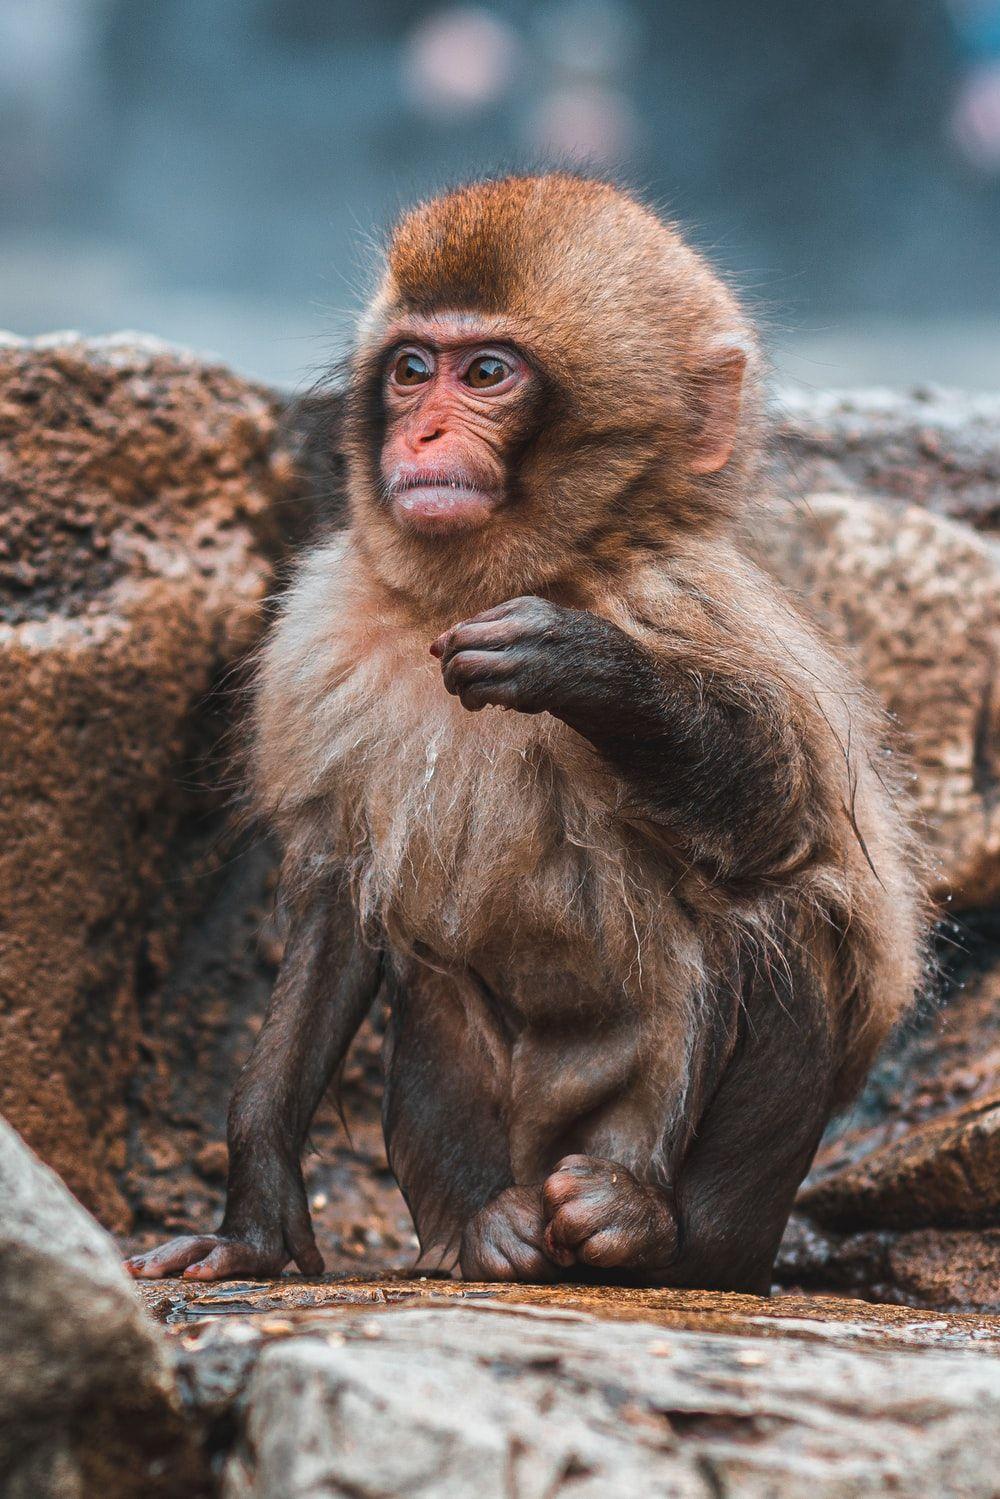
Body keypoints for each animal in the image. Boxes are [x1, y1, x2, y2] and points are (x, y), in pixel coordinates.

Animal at [127, 173, 924, 1293]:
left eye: (488, 373)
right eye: (413, 369)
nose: (418, 437)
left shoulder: (706, 605)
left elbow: (796, 832)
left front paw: (592, 668)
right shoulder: (318, 632)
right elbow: (335, 897)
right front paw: (256, 1216)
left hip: (632, 1137)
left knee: (794, 911)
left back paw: (664, 1234)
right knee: (420, 965)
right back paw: (479, 1227)